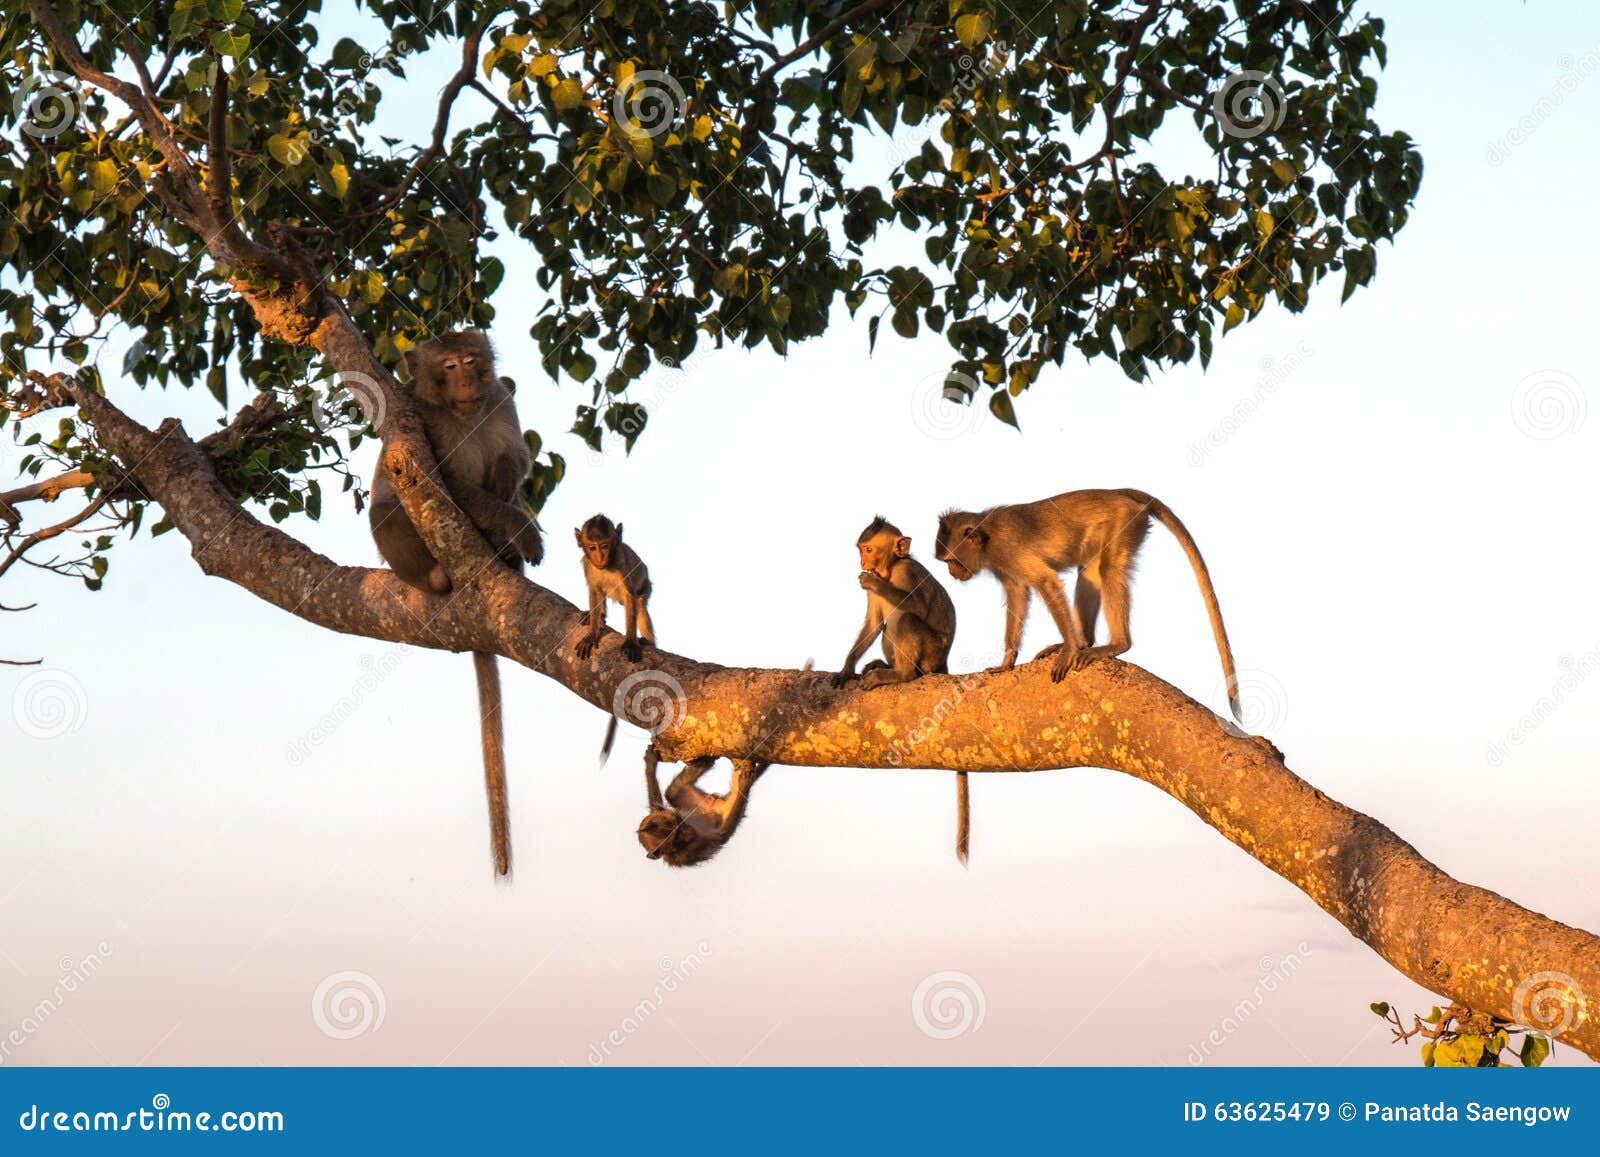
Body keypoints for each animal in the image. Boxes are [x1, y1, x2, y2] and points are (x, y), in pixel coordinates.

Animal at [367, 330, 544, 878]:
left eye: (471, 360)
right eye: (448, 367)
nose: (467, 380)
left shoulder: (502, 402)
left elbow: (513, 459)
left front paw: (510, 503)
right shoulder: (418, 421)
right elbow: (443, 484)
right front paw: (518, 528)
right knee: (386, 510)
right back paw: (442, 572)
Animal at [574, 514, 656, 762]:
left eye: (605, 546)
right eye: (592, 548)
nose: (600, 557)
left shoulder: (620, 562)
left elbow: (630, 597)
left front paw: (630, 642)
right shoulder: (588, 565)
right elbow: (594, 591)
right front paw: (592, 633)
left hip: (647, 586)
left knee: (638, 603)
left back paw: (646, 640)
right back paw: (597, 618)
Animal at [636, 746, 768, 867]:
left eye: (679, 823)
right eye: (677, 839)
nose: (689, 831)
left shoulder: (662, 813)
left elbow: (655, 804)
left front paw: (650, 765)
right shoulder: (688, 852)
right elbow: (720, 835)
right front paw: (745, 784)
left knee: (672, 792)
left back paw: (707, 759)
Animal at [829, 517, 970, 863]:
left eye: (868, 550)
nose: (862, 562)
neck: (890, 569)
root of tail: (942, 662)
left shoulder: (907, 574)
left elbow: (913, 605)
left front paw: (872, 583)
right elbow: (871, 623)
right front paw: (847, 667)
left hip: (930, 652)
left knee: (905, 619)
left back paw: (899, 674)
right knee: (885, 627)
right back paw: (879, 664)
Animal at [934, 488, 1242, 719]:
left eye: (950, 560)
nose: (952, 573)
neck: (987, 535)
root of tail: (1115, 492)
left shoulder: (1006, 549)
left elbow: (1046, 582)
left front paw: (1069, 650)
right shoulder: (1002, 563)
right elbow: (1017, 593)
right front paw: (1006, 663)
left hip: (1125, 520)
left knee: (1108, 570)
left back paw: (1114, 644)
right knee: (1091, 571)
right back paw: (1083, 641)